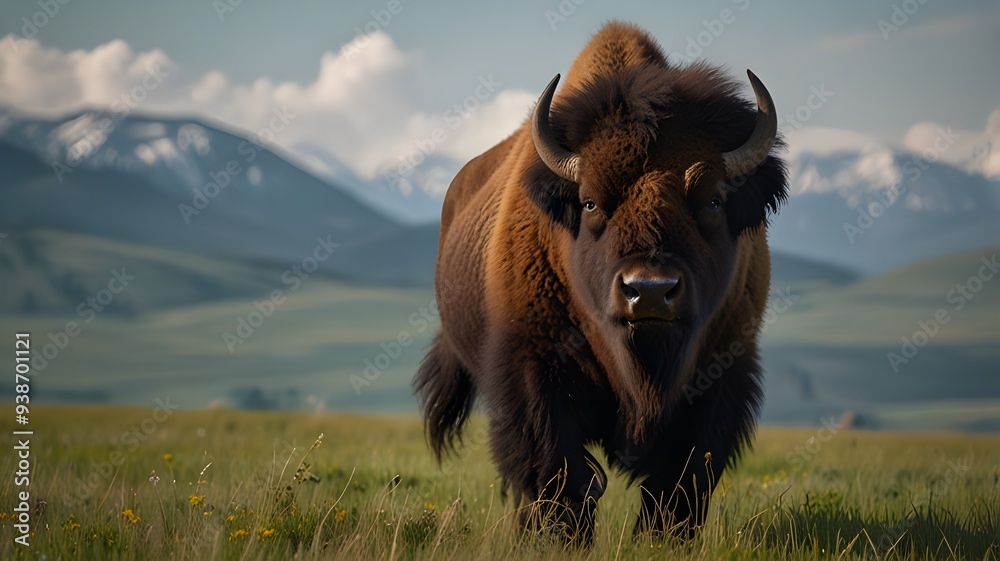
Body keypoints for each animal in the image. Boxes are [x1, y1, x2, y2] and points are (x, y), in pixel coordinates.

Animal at [414, 21, 788, 542]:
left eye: (713, 200)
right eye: (590, 201)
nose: (649, 290)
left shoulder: (722, 373)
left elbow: (683, 476)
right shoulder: (533, 373)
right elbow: (557, 469)